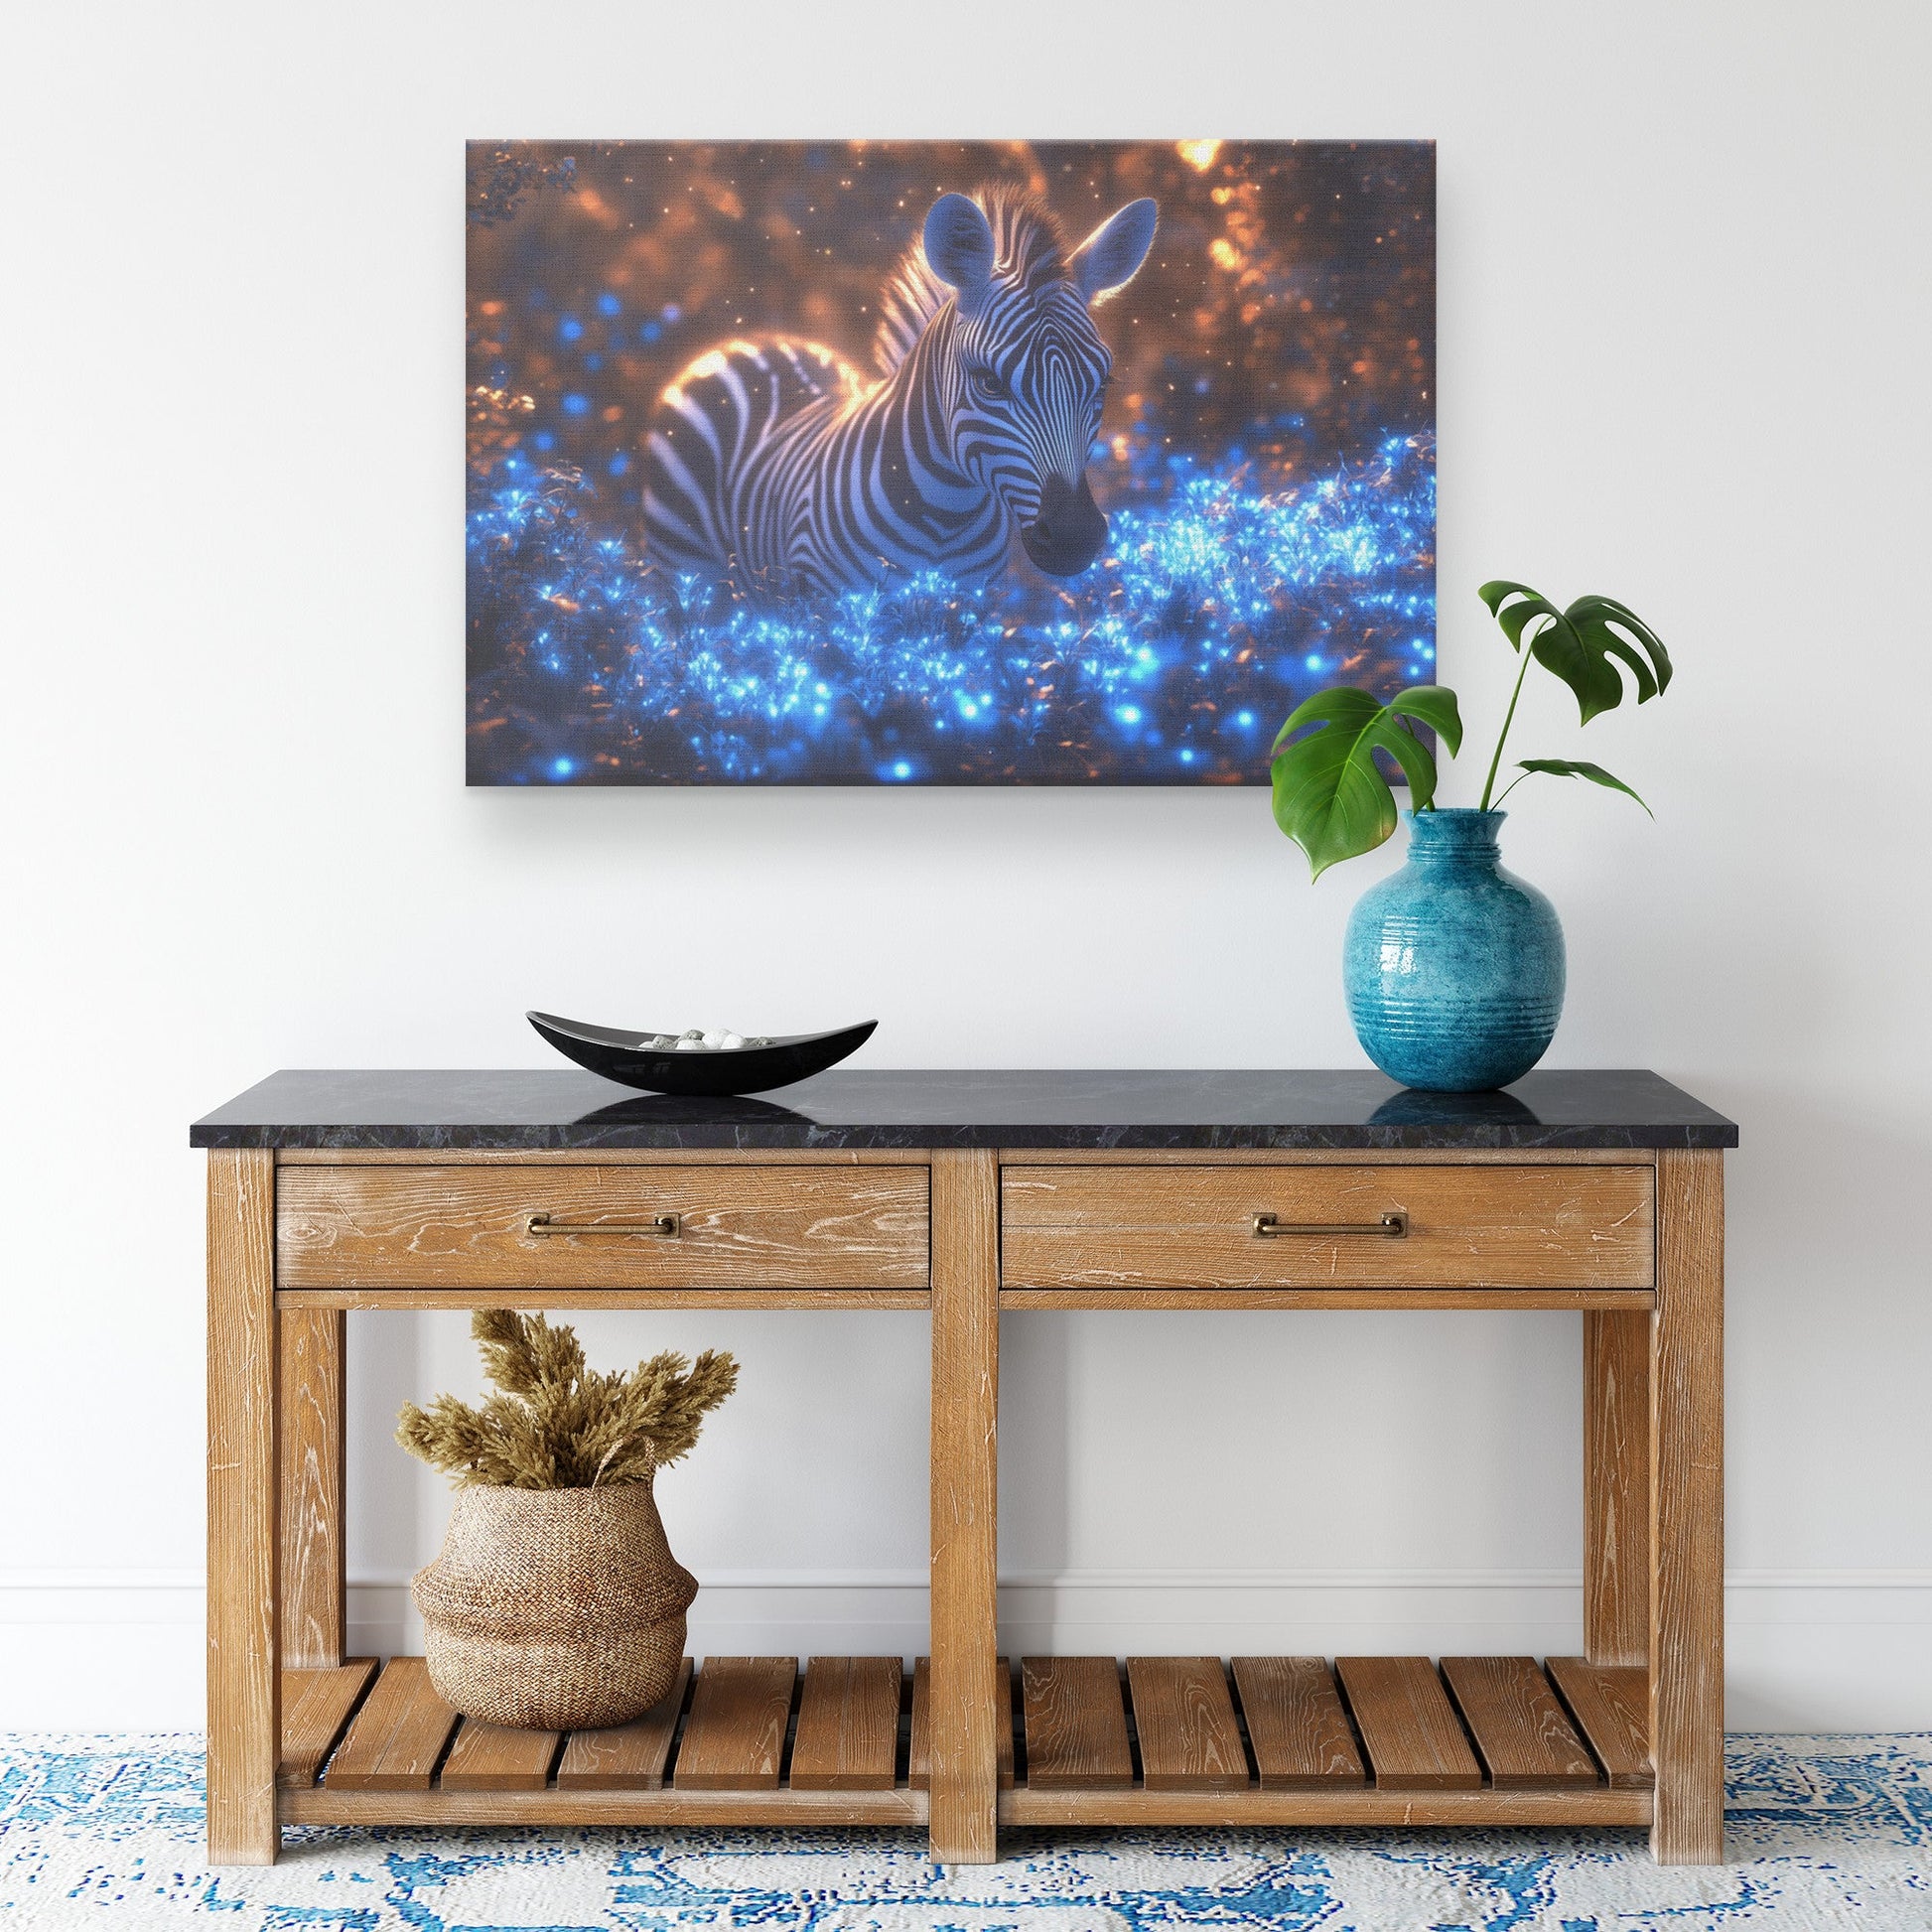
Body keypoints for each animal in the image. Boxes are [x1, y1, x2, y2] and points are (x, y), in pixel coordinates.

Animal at [641, 185, 1158, 595]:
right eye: (989, 382)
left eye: (1103, 382)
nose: (1075, 539)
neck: (947, 511)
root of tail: (748, 341)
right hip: (684, 570)